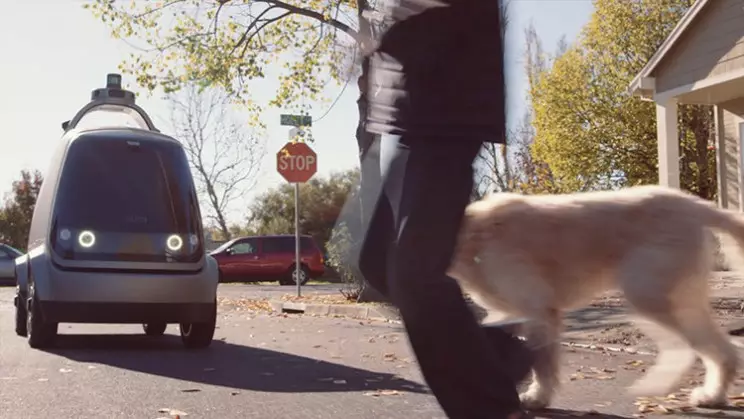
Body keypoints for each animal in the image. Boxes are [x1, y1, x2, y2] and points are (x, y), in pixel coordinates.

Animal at [448, 185, 744, 412]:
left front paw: (537, 398)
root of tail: (693, 205)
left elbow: (542, 363)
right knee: (723, 350)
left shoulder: (539, 311)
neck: (472, 234)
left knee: (710, 347)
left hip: (651, 296)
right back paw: (713, 395)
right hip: (681, 300)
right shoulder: (508, 316)